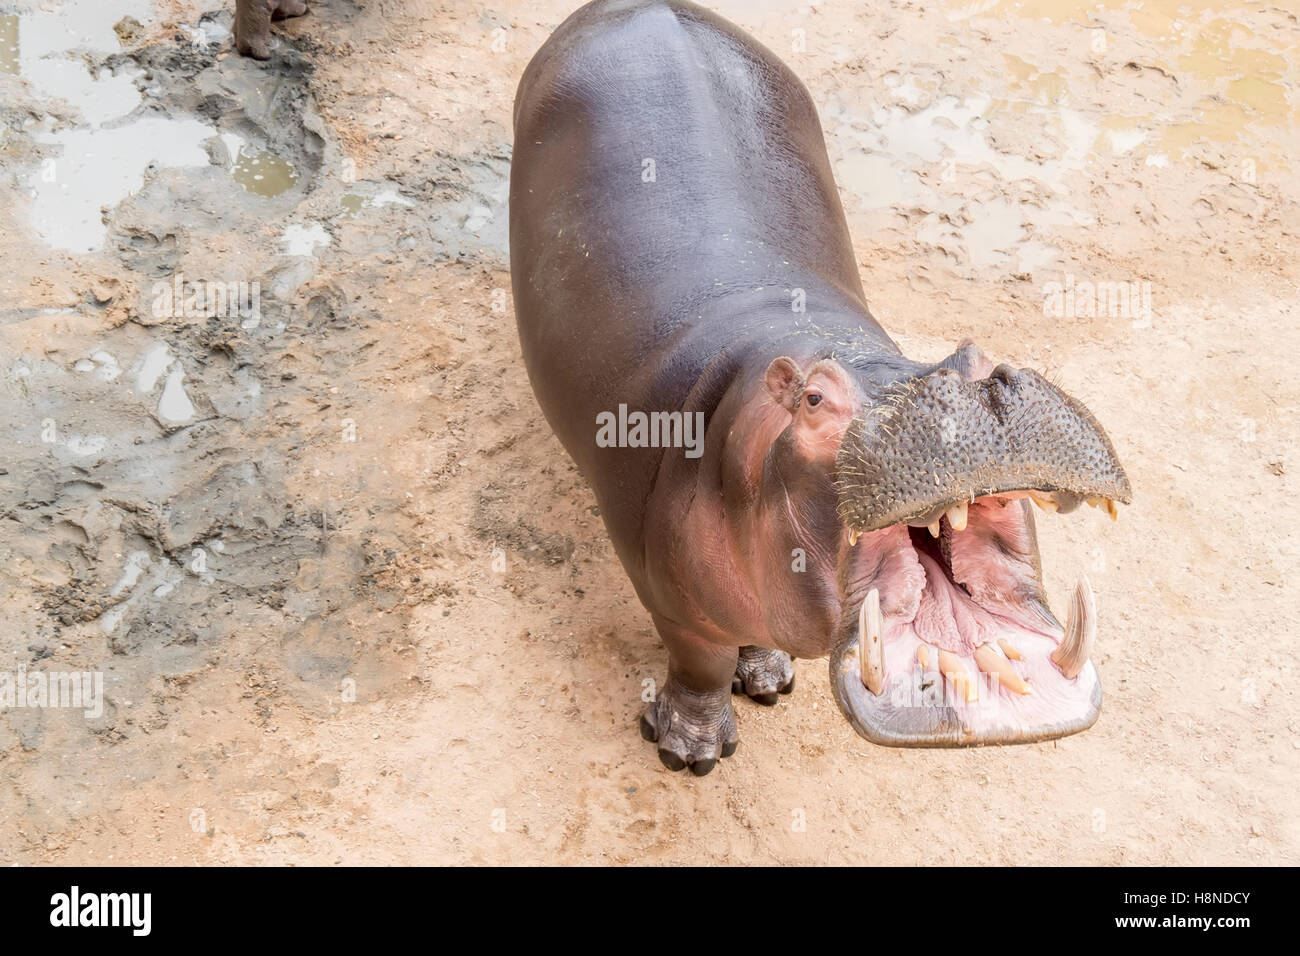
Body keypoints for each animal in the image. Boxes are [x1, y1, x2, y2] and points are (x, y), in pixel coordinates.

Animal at [510, 0, 1131, 774]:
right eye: (814, 400)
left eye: (974, 355)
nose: (971, 389)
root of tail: (638, 6)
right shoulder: (670, 599)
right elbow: (700, 662)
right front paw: (689, 751)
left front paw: (767, 676)